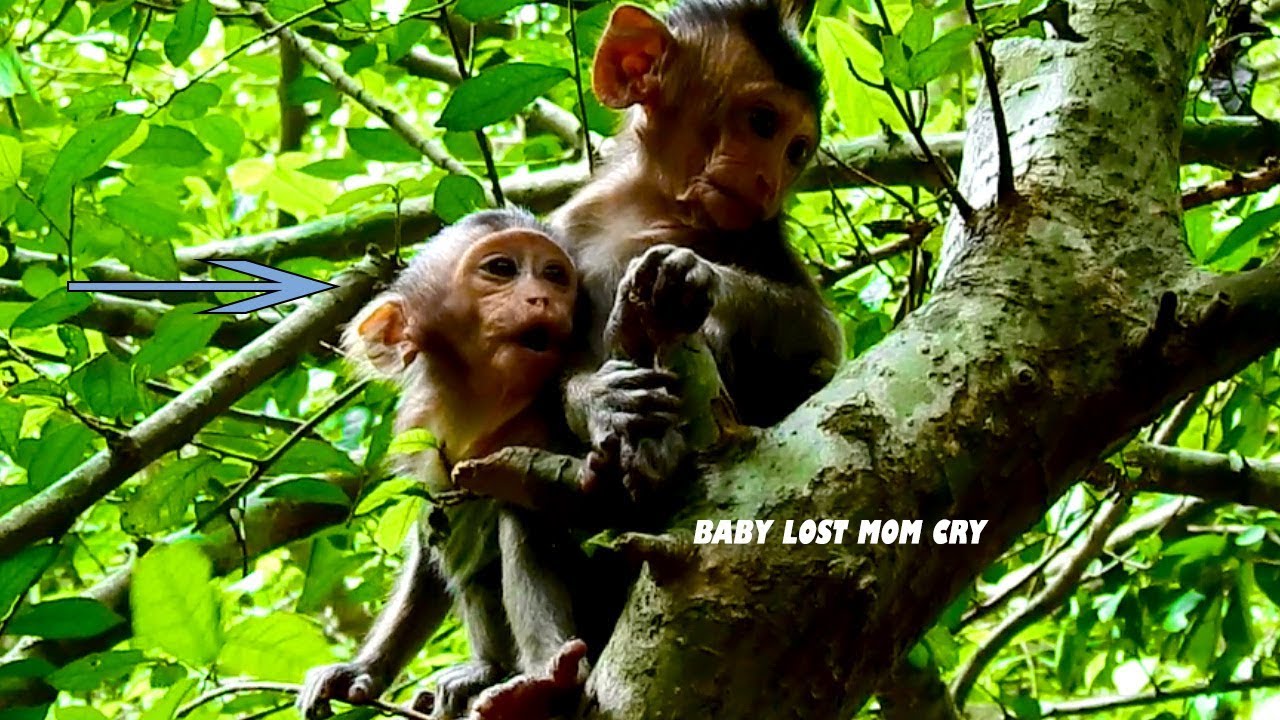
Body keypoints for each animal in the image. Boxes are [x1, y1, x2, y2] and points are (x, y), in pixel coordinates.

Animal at [297, 209, 593, 720]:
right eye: (502, 269)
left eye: (554, 274)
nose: (543, 296)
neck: (484, 409)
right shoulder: (418, 426)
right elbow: (429, 541)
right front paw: (362, 670)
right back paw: (489, 673)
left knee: (518, 517)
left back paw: (540, 680)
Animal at [550, 0, 843, 496]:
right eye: (763, 123)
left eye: (797, 151)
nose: (769, 182)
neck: (654, 208)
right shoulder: (567, 229)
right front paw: (601, 398)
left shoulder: (761, 235)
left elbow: (821, 334)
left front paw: (695, 274)